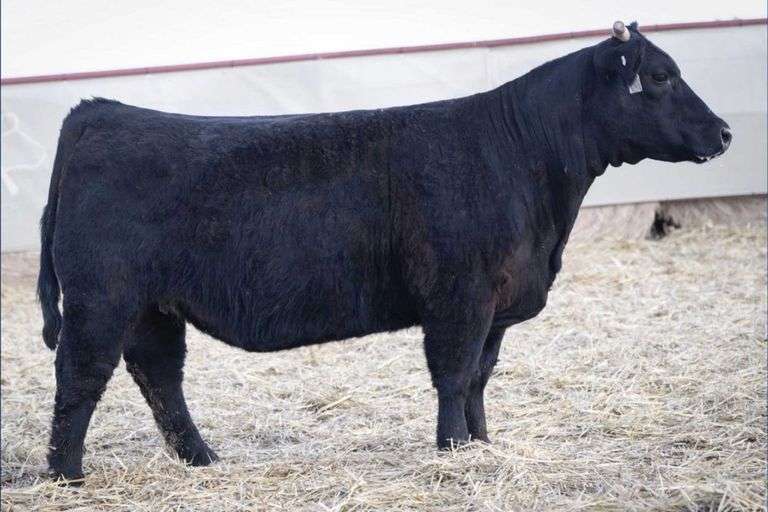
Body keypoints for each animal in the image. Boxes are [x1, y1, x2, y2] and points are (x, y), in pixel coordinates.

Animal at [38, 21, 731, 482]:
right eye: (660, 76)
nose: (724, 133)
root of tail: (101, 111)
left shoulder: (496, 305)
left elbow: (481, 376)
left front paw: (480, 446)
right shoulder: (460, 296)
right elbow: (454, 375)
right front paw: (452, 453)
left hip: (154, 307)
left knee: (159, 377)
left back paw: (202, 460)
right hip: (102, 299)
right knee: (81, 377)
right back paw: (66, 475)